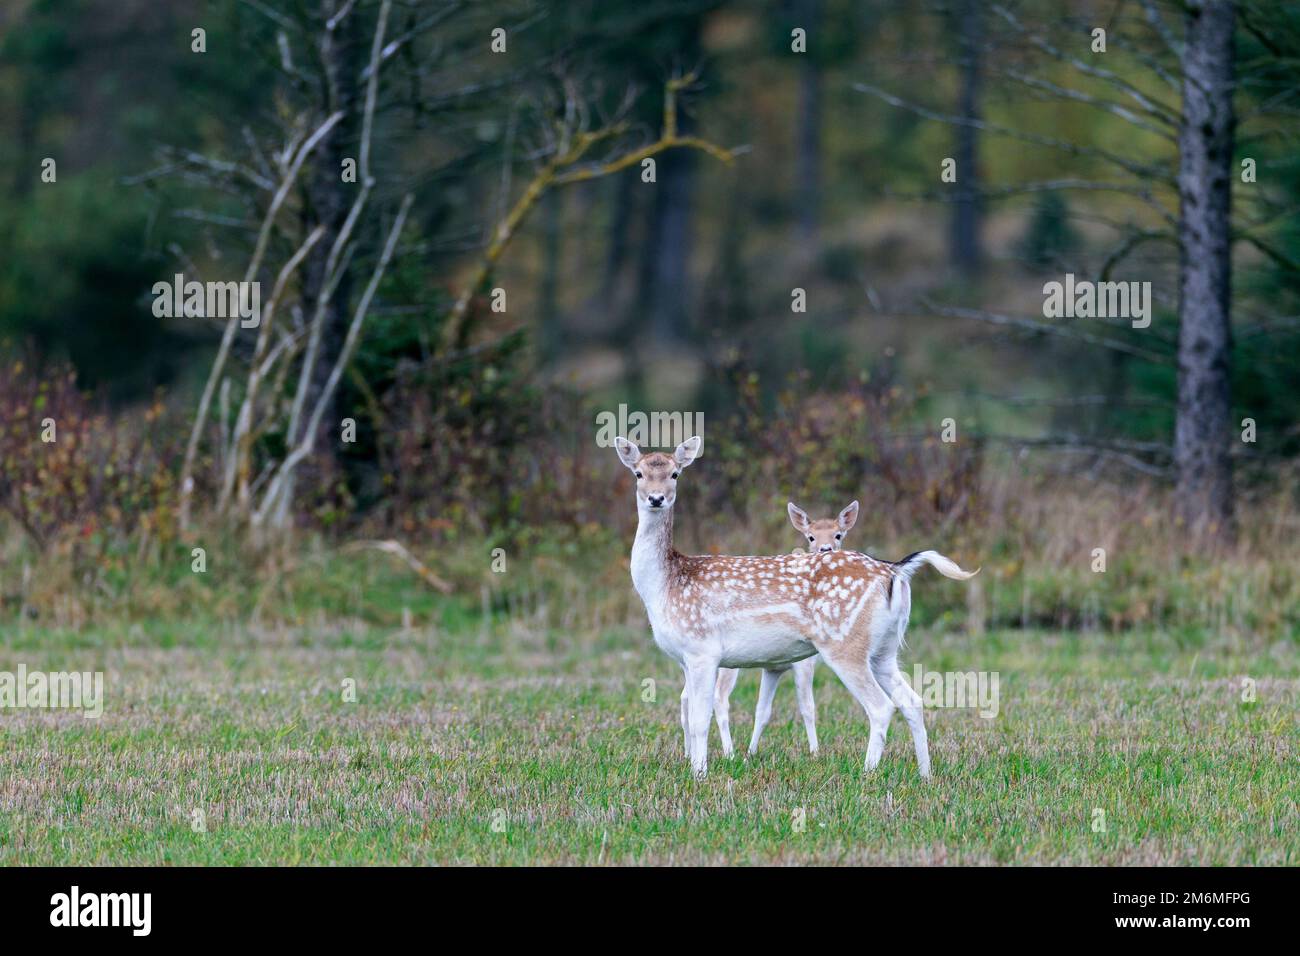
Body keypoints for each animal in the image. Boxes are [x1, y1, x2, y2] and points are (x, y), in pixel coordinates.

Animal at [711, 500, 860, 758]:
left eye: (838, 534)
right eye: (811, 536)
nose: (826, 549)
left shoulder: (774, 667)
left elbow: (762, 711)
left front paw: (751, 753)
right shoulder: (804, 662)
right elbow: (808, 707)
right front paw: (815, 753)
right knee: (719, 697)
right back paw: (728, 753)